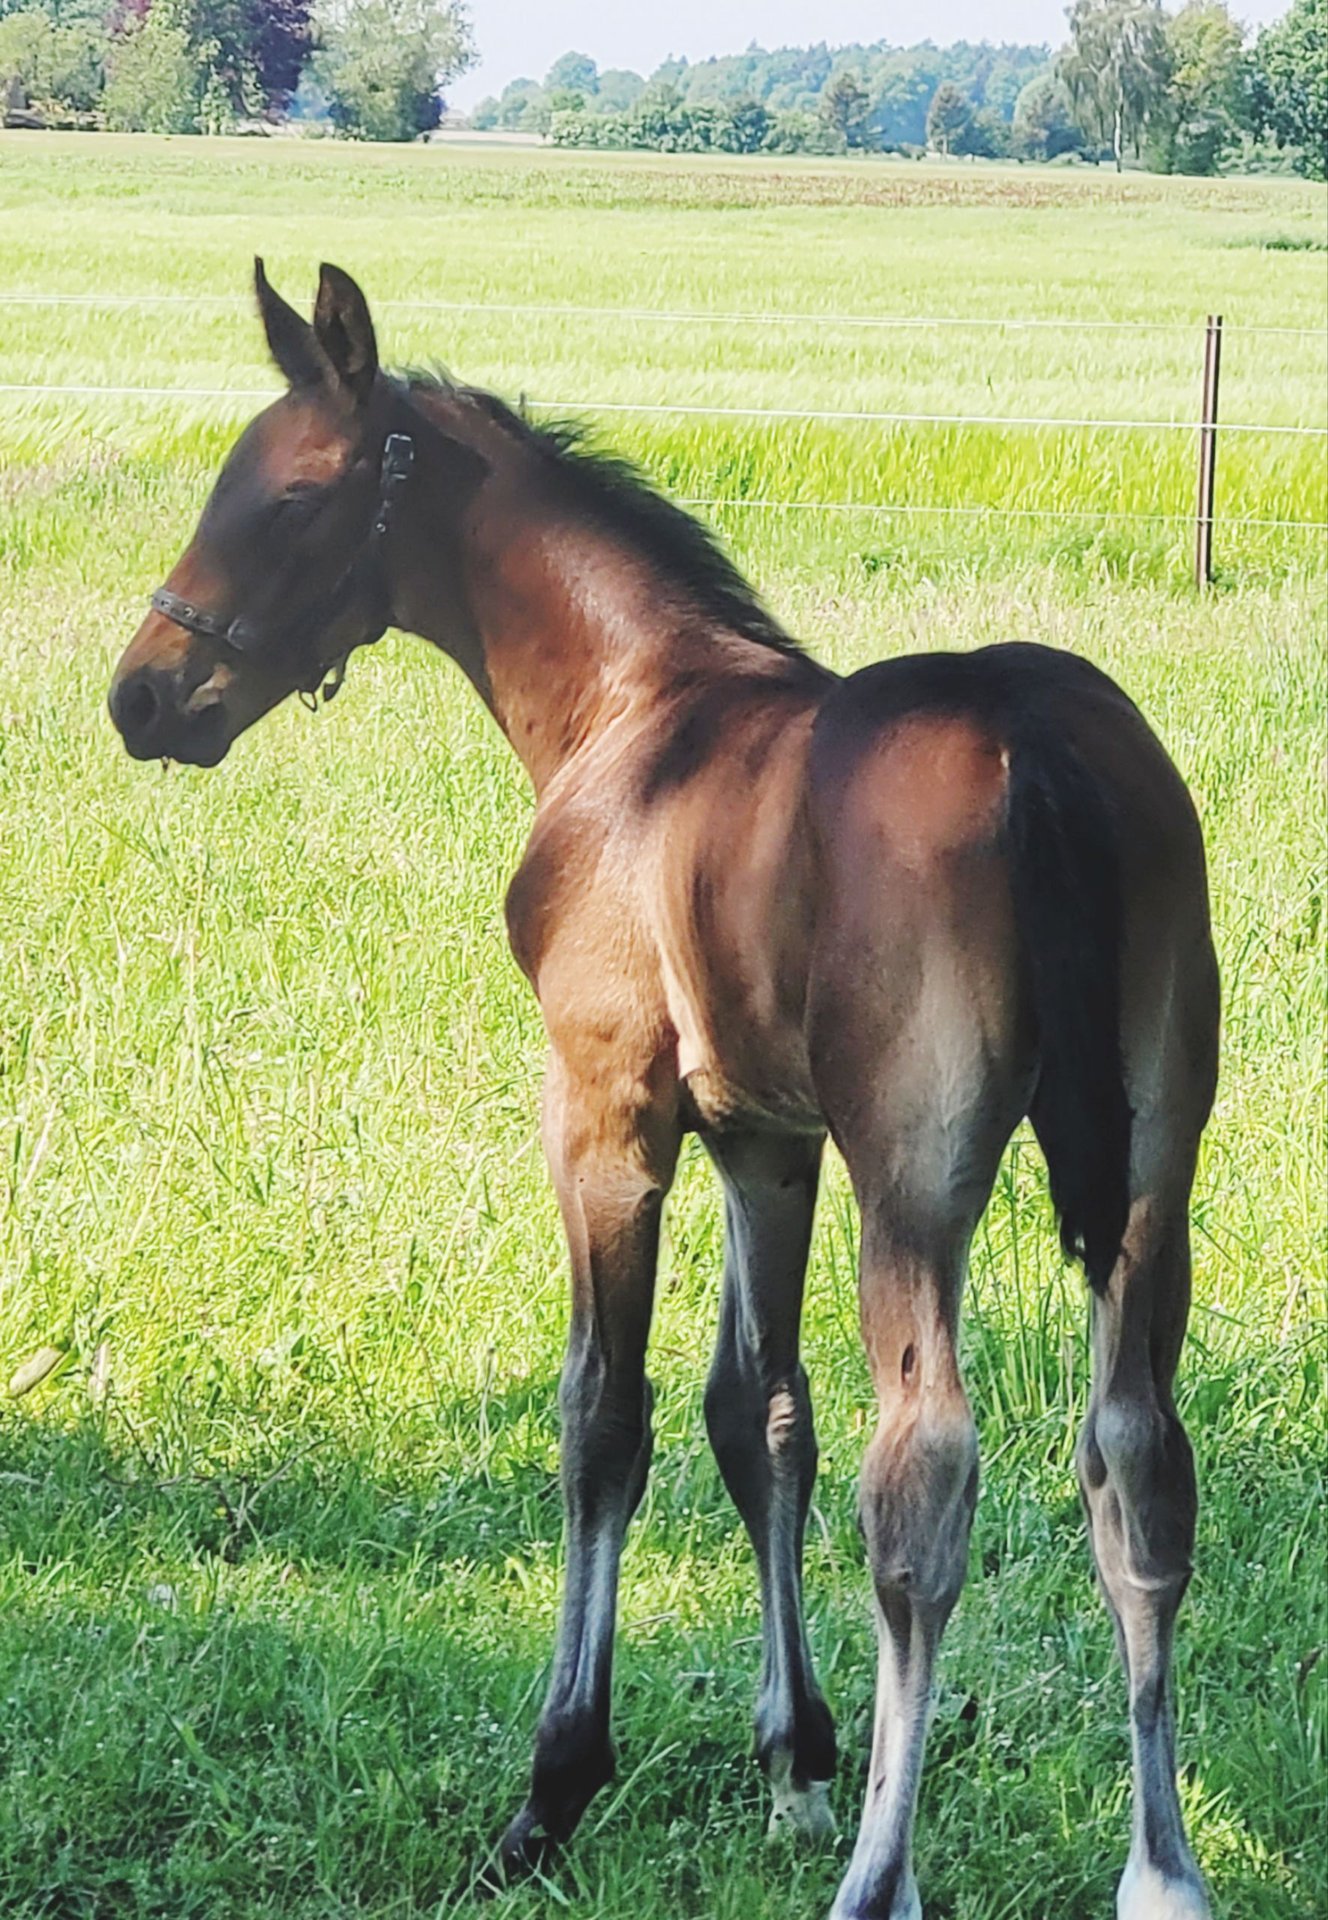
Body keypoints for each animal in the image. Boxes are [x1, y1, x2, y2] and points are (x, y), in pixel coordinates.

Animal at [108, 262, 1219, 1920]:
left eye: (293, 499)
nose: (145, 694)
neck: (640, 713)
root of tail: (1038, 744)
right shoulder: (768, 1140)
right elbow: (761, 1418)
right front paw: (794, 1764)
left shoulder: (608, 1114)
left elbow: (605, 1416)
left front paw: (554, 1788)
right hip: (1152, 1170)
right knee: (1138, 1457)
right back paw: (1160, 1871)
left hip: (920, 1177)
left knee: (925, 1483)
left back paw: (880, 1879)